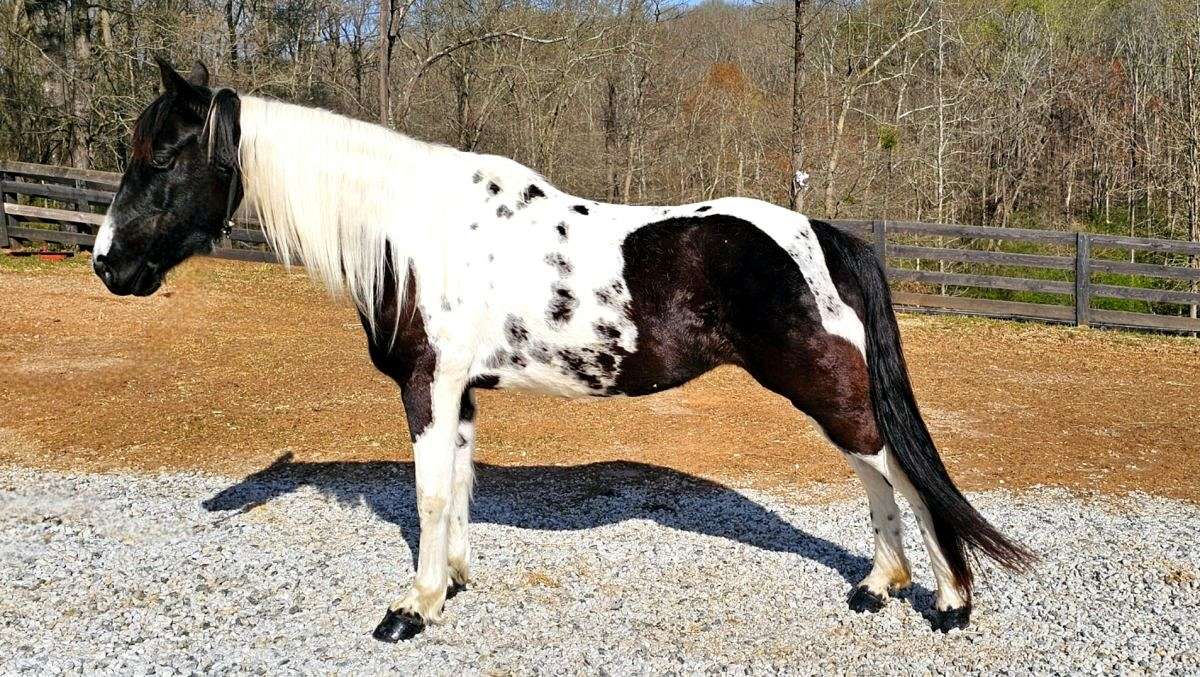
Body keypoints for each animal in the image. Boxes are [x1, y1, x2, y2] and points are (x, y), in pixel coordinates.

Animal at [92, 58, 1033, 642]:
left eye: (163, 156)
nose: (107, 263)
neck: (416, 231)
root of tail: (823, 235)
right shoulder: (461, 392)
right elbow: (459, 486)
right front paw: (452, 583)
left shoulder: (428, 385)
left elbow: (430, 493)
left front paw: (412, 608)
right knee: (876, 475)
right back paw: (879, 586)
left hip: (827, 384)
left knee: (902, 472)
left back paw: (949, 602)